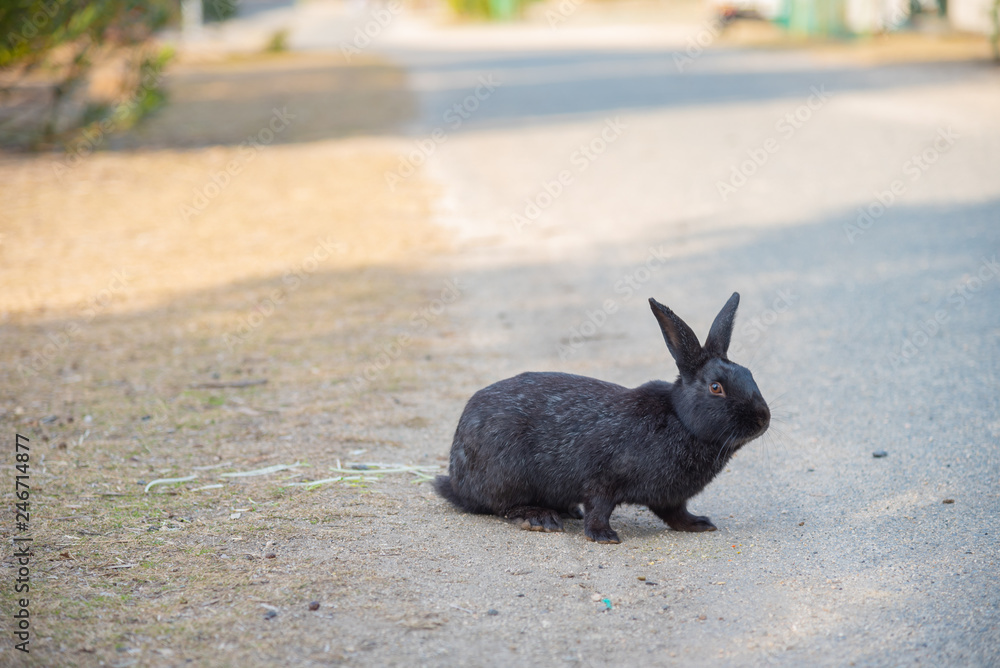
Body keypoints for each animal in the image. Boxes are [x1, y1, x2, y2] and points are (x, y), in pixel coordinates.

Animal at [433, 292, 770, 544]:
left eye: (749, 374)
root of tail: (456, 477)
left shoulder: (670, 497)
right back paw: (540, 518)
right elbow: (599, 507)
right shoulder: (603, 478)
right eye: (716, 387)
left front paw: (699, 524)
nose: (763, 419)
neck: (679, 420)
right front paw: (603, 536)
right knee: (503, 506)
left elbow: (676, 514)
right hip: (508, 473)